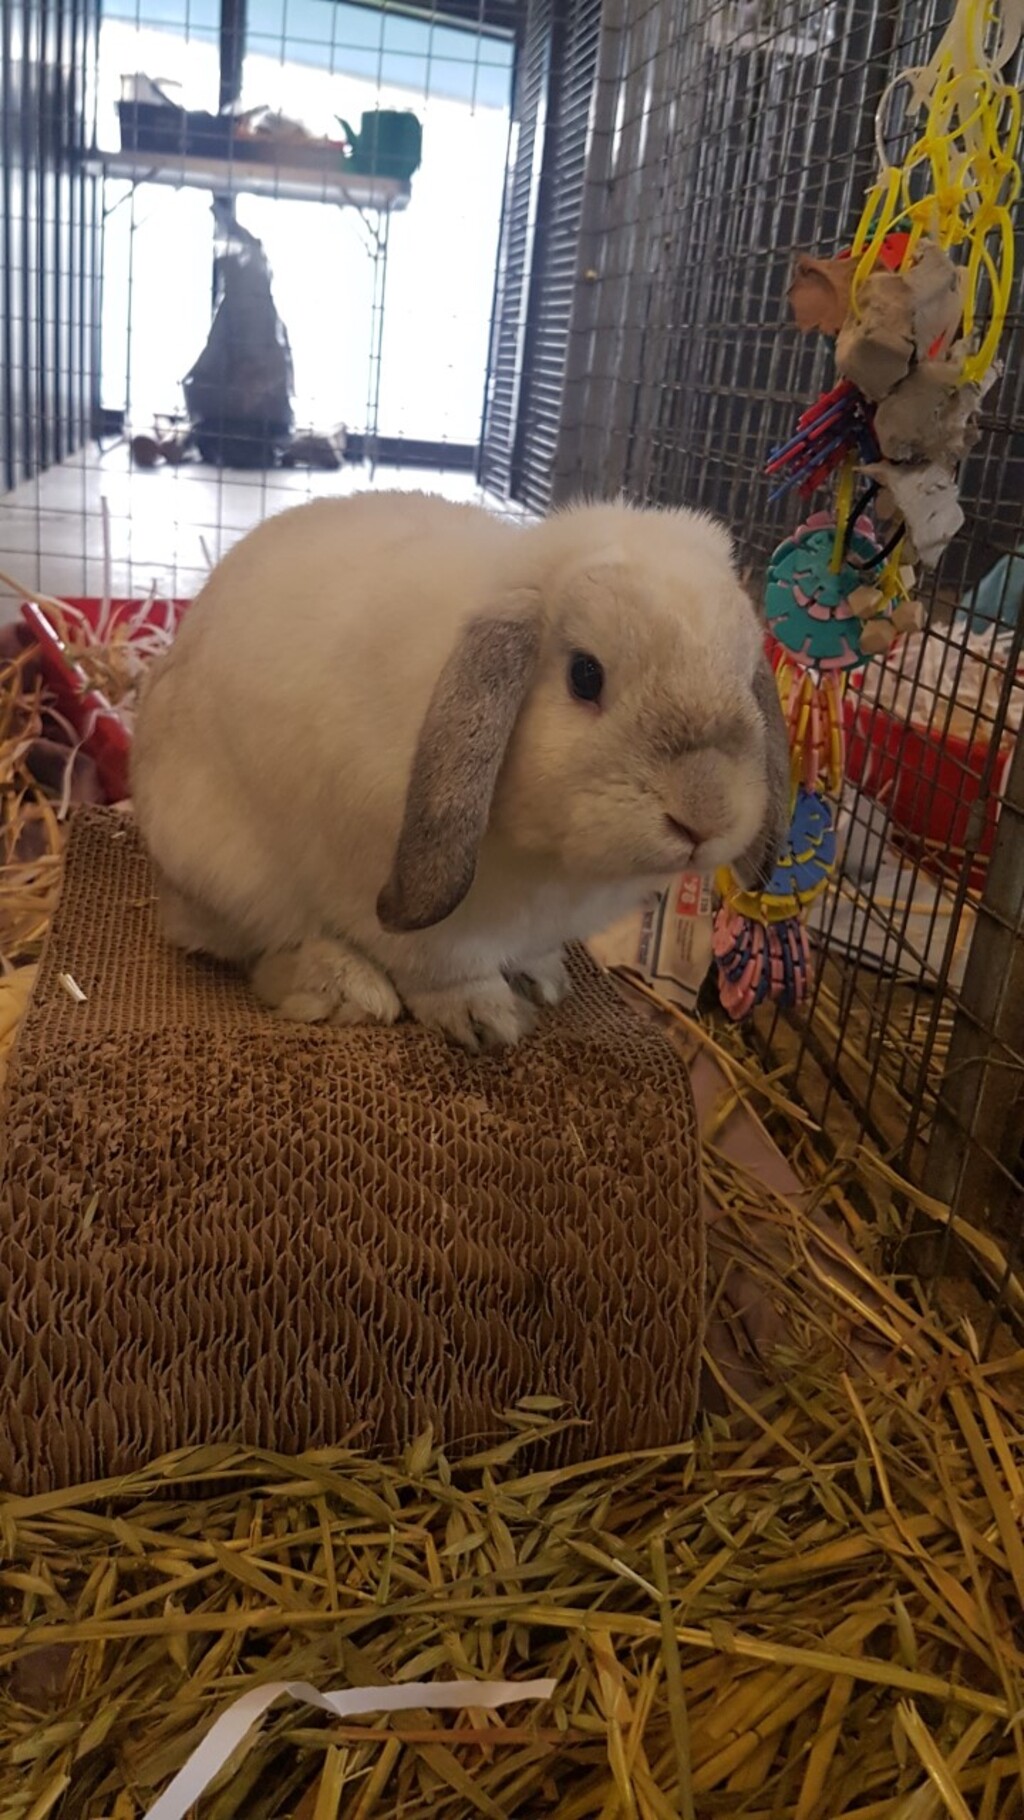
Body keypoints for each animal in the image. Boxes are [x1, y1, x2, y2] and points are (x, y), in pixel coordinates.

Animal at [131, 490, 790, 1051]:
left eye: (744, 677)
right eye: (585, 675)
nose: (702, 820)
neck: (553, 862)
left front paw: (544, 979)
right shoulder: (420, 924)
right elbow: (444, 971)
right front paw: (485, 1019)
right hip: (229, 868)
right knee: (258, 946)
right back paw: (345, 989)